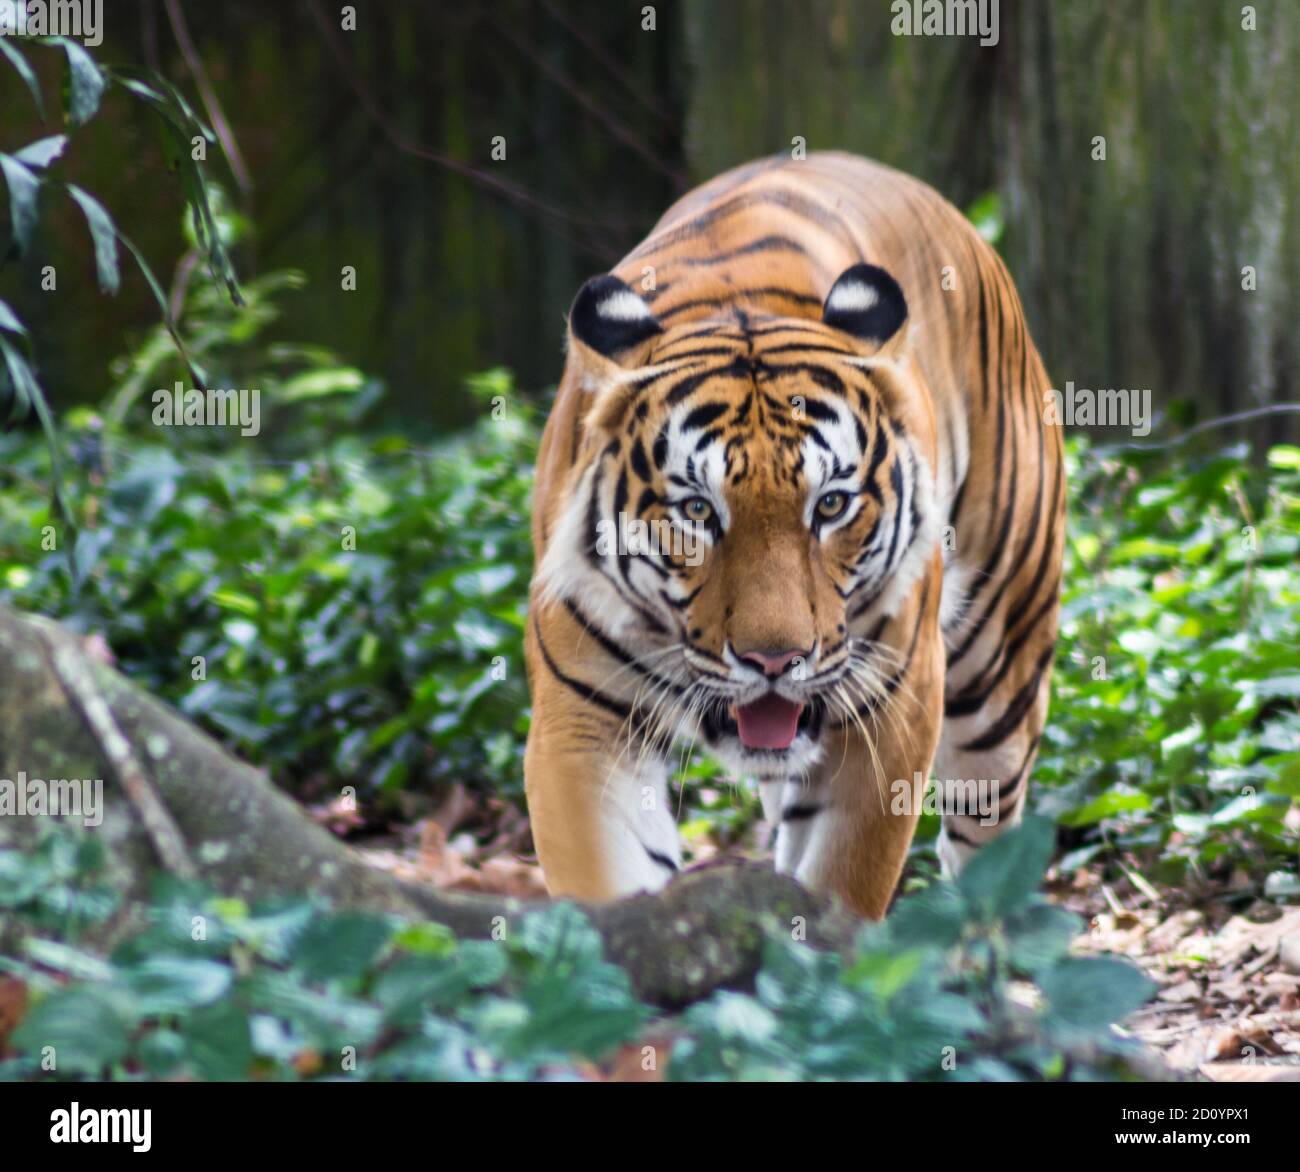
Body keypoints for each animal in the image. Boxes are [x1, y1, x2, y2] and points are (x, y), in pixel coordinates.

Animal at [524, 151, 1064, 918]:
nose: (774, 661)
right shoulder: (583, 720)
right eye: (697, 512)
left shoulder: (890, 703)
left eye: (831, 505)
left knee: (989, 834)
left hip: (999, 664)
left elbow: (843, 881)